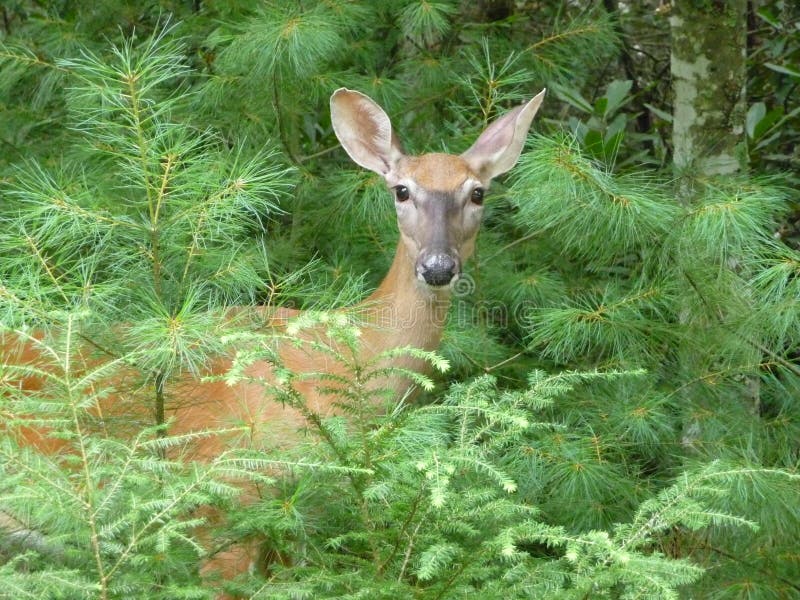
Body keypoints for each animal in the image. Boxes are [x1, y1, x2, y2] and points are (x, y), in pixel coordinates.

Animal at [0, 87, 545, 594]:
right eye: (401, 190)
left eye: (477, 193)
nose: (437, 266)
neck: (345, 357)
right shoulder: (225, 501)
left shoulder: (294, 516)